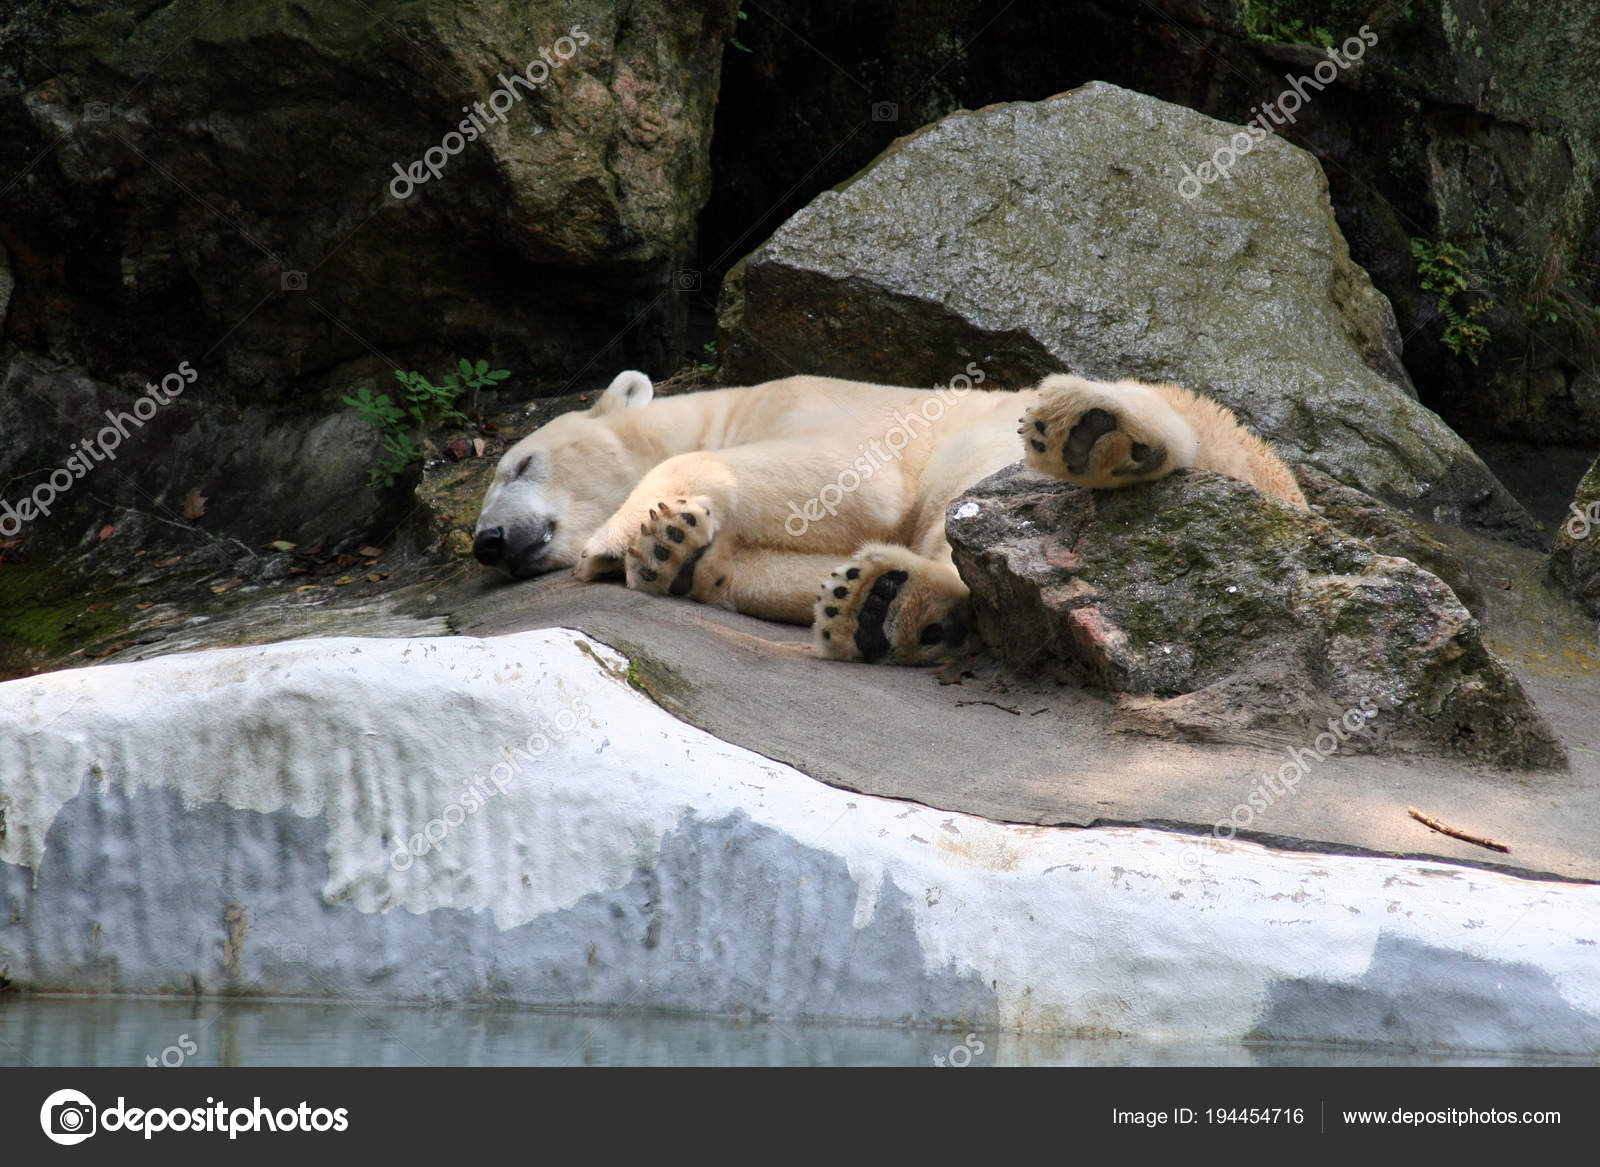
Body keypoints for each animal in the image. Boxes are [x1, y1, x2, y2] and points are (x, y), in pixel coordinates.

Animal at [472, 369, 1307, 665]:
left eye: (522, 463)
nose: (487, 540)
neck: (722, 408)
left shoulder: (809, 402)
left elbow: (851, 483)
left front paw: (631, 533)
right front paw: (675, 552)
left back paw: (1098, 432)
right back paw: (885, 606)